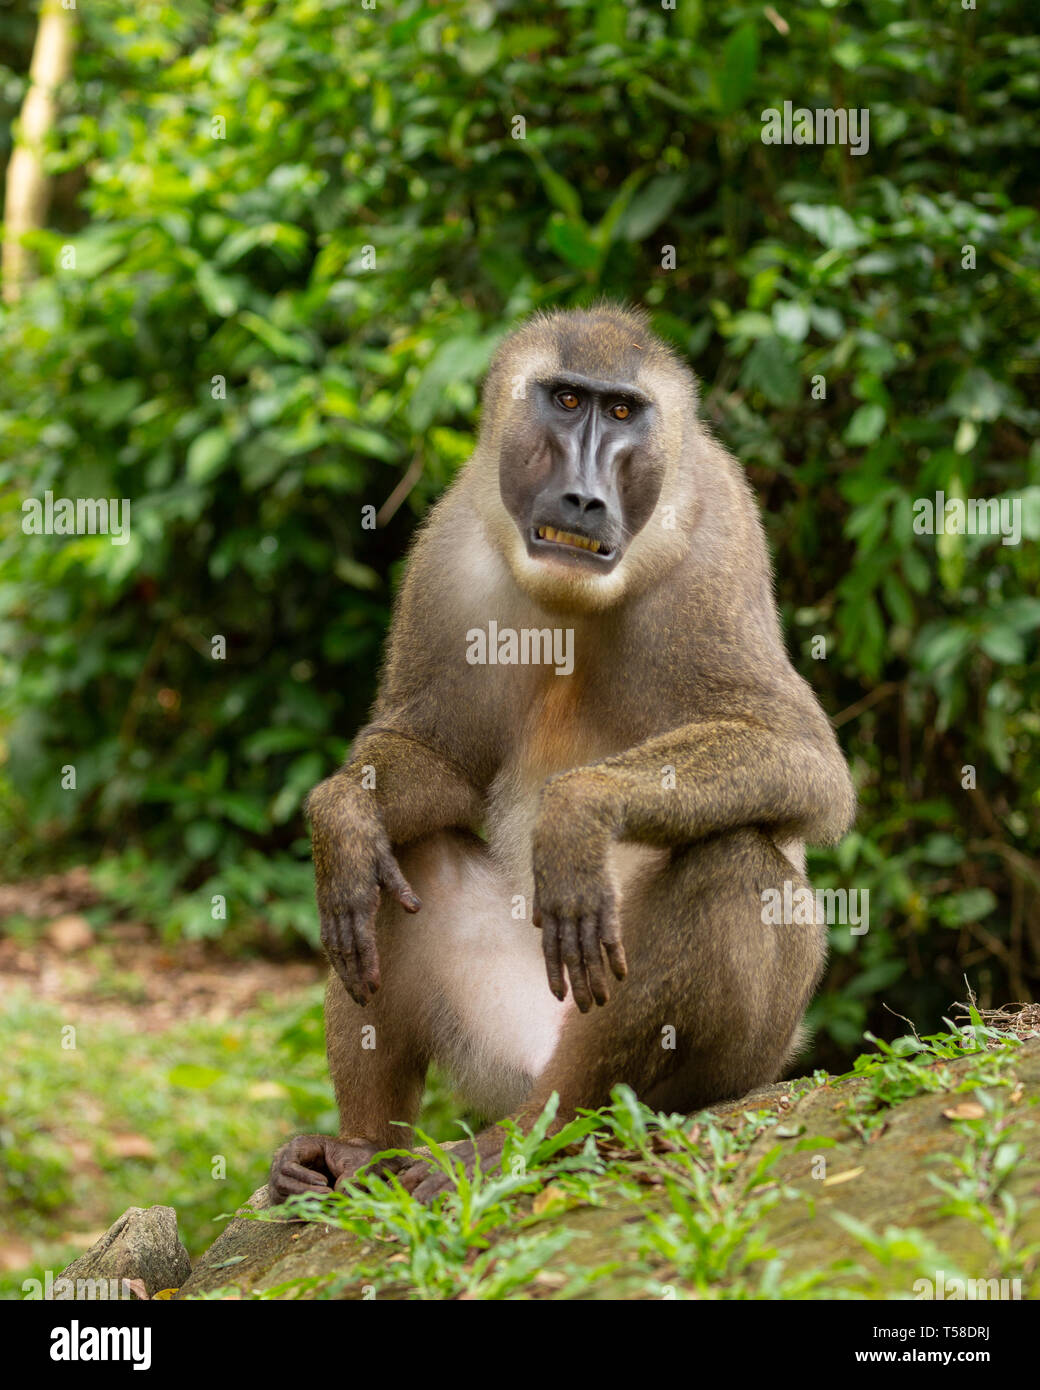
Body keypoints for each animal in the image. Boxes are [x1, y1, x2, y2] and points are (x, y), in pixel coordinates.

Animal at [269, 304, 855, 1204]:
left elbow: (802, 760)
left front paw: (580, 812)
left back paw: (539, 1134)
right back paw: (359, 1149)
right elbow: (432, 765)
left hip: (700, 1049)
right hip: (503, 1033)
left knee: (735, 863)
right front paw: (338, 816)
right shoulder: (450, 553)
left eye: (621, 413)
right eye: (567, 399)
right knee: (390, 865)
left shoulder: (717, 540)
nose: (584, 494)